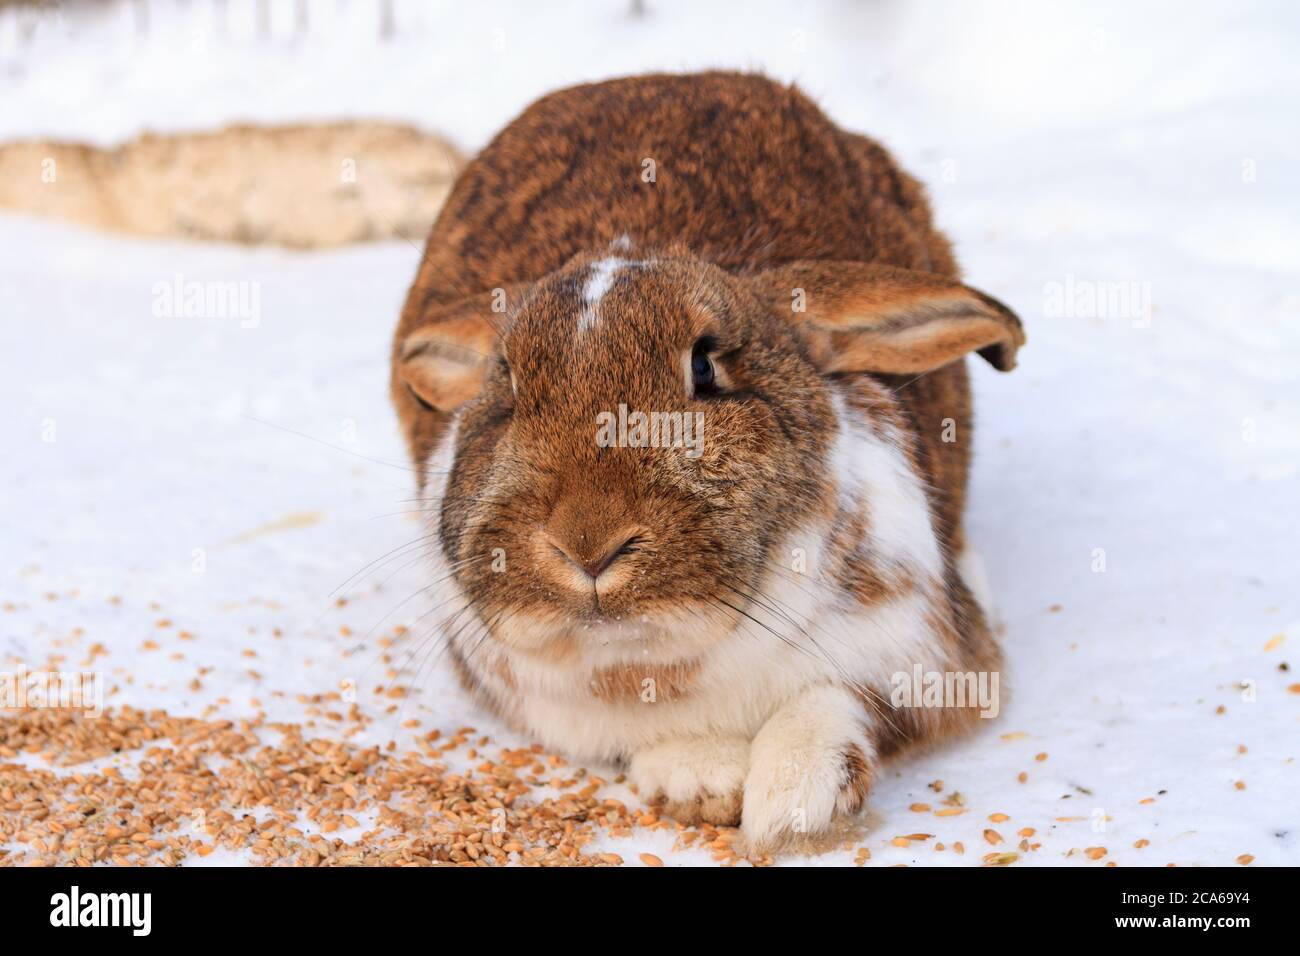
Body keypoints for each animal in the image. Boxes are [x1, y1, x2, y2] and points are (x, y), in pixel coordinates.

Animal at [390, 71, 1024, 852]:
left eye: (705, 367)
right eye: (505, 385)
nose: (588, 547)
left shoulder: (924, 653)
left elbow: (837, 700)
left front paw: (794, 803)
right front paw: (702, 780)